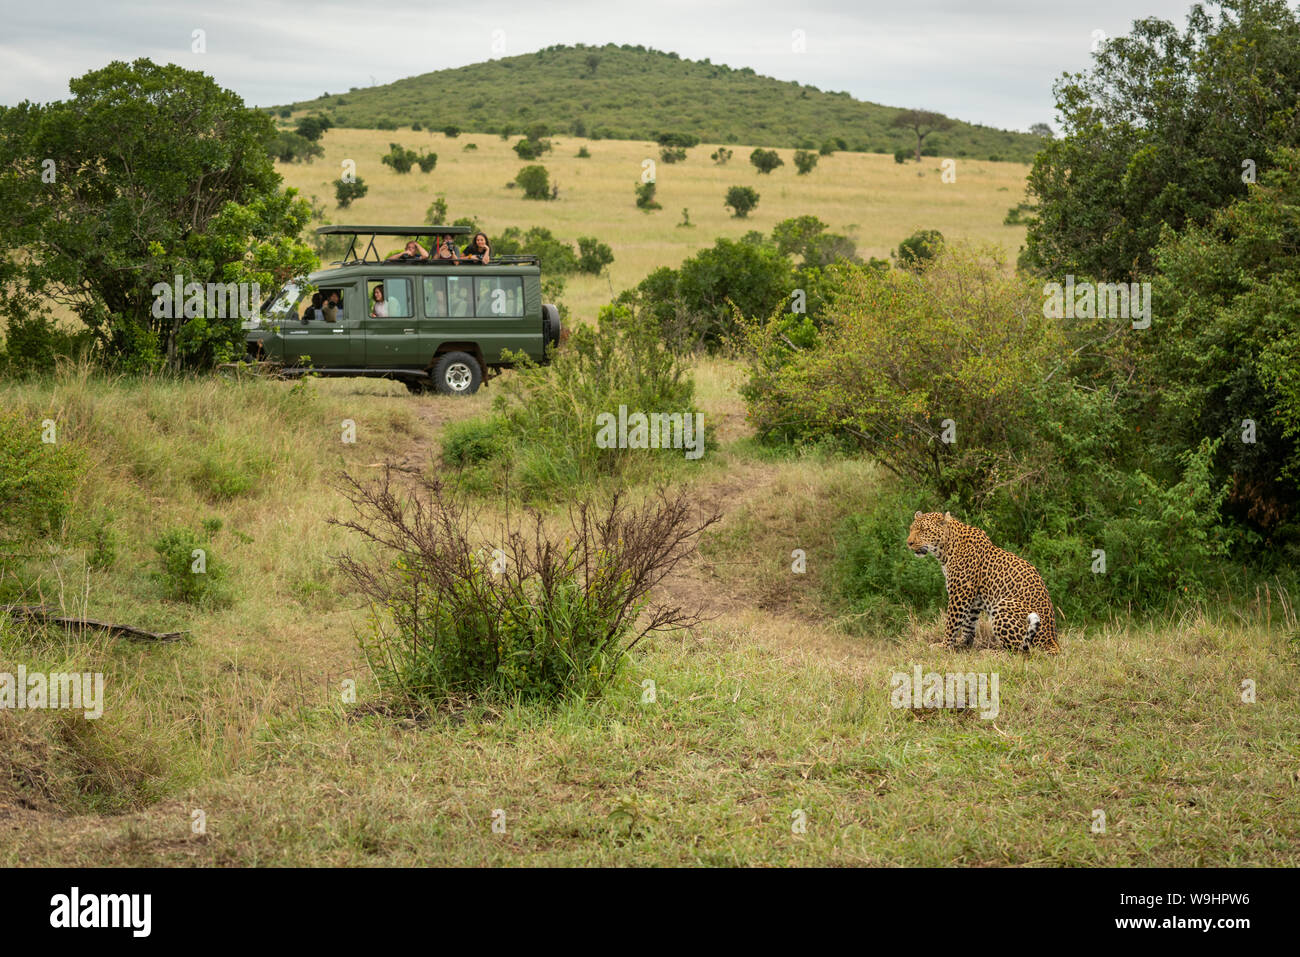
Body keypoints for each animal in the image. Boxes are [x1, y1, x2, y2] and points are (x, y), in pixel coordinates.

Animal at [906, 510, 1060, 655]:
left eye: (923, 530)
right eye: (911, 529)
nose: (909, 543)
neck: (947, 549)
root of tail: (1052, 642)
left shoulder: (960, 593)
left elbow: (951, 622)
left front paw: (944, 645)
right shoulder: (972, 599)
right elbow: (968, 623)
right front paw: (963, 642)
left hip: (1003, 605)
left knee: (1019, 650)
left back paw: (991, 652)